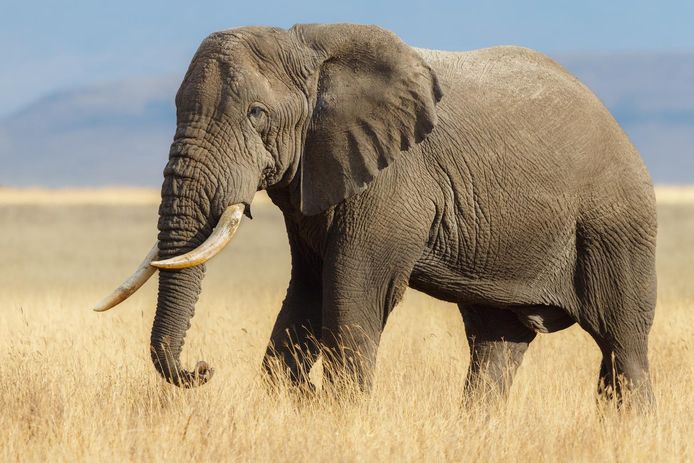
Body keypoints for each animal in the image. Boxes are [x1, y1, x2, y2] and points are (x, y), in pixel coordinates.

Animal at [95, 23, 660, 406]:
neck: (309, 49)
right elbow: (307, 290)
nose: (201, 369)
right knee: (496, 345)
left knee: (623, 344)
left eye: (256, 114)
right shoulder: (315, 174)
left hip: (615, 227)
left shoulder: (395, 179)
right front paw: (293, 401)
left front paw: (338, 411)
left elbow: (354, 290)